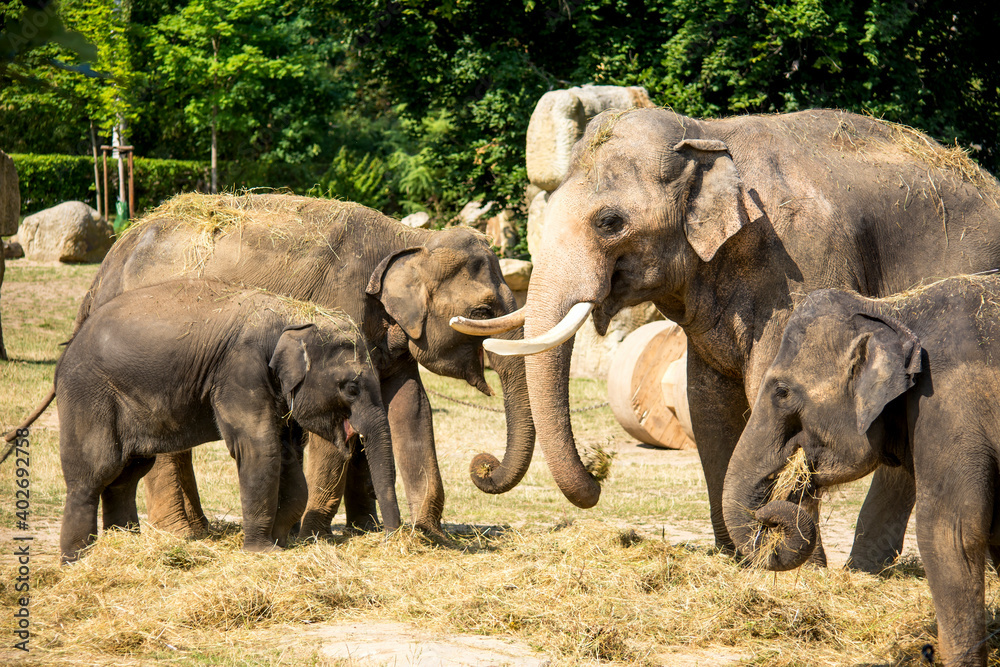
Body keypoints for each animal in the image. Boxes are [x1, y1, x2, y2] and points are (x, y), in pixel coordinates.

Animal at [55, 279, 399, 563]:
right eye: (351, 388)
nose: (392, 541)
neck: (291, 314)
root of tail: (69, 345)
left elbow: (285, 454)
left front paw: (280, 542)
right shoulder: (240, 370)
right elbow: (260, 449)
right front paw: (263, 551)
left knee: (127, 475)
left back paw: (123, 545)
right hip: (88, 395)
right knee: (95, 472)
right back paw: (77, 562)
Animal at [60, 193, 533, 537]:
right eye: (484, 310)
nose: (483, 465)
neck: (408, 238)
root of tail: (110, 259)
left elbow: (411, 407)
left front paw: (426, 537)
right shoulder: (340, 304)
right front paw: (311, 534)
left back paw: (198, 529)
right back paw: (182, 534)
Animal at [465, 107, 1000, 571]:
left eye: (609, 222)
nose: (598, 473)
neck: (706, 134)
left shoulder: (800, 264)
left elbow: (770, 387)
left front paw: (793, 569)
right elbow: (706, 403)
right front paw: (738, 561)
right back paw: (865, 571)